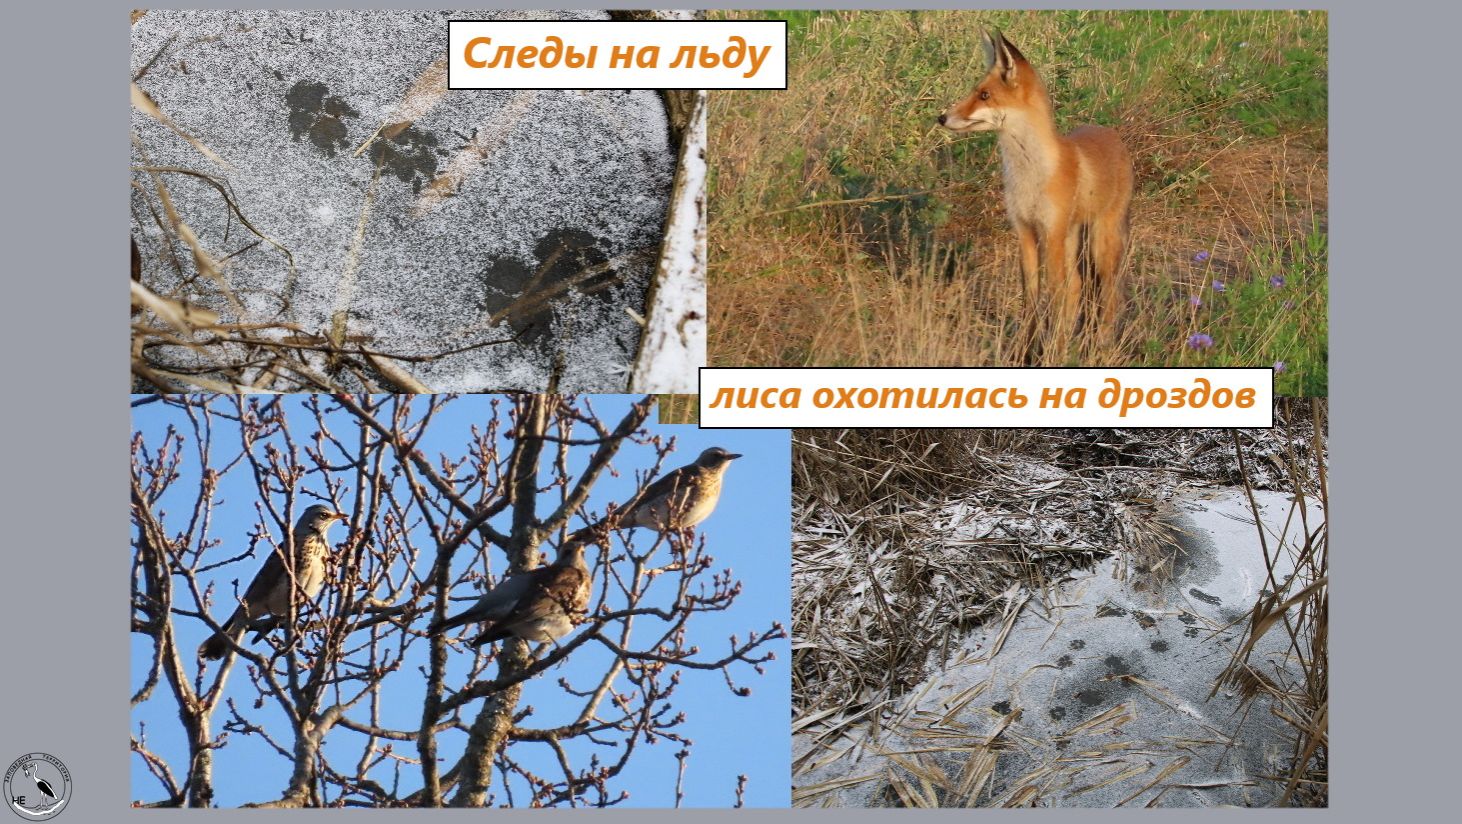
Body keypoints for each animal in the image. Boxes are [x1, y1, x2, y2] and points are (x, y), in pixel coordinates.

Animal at [938, 29, 1134, 358]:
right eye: (974, 91)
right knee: (1077, 286)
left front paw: (1053, 352)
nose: (941, 118)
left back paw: (1101, 345)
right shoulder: (1025, 232)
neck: (1030, 175)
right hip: (1072, 237)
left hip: (1099, 242)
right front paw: (1025, 351)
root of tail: (1111, 133)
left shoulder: (1050, 234)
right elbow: (1030, 298)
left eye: (984, 95)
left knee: (1109, 293)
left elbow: (1054, 296)